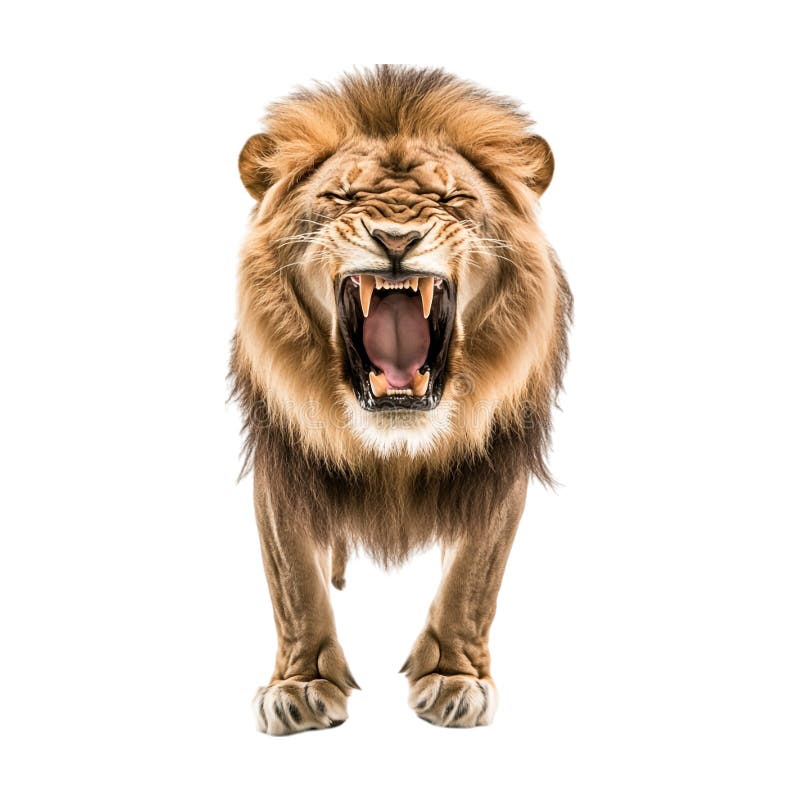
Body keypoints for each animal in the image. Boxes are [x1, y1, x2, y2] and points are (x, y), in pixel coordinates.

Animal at [230, 65, 572, 734]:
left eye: (453, 201)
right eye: (339, 198)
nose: (395, 238)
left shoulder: (498, 469)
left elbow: (472, 579)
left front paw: (454, 678)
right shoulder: (281, 464)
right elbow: (295, 583)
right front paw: (300, 684)